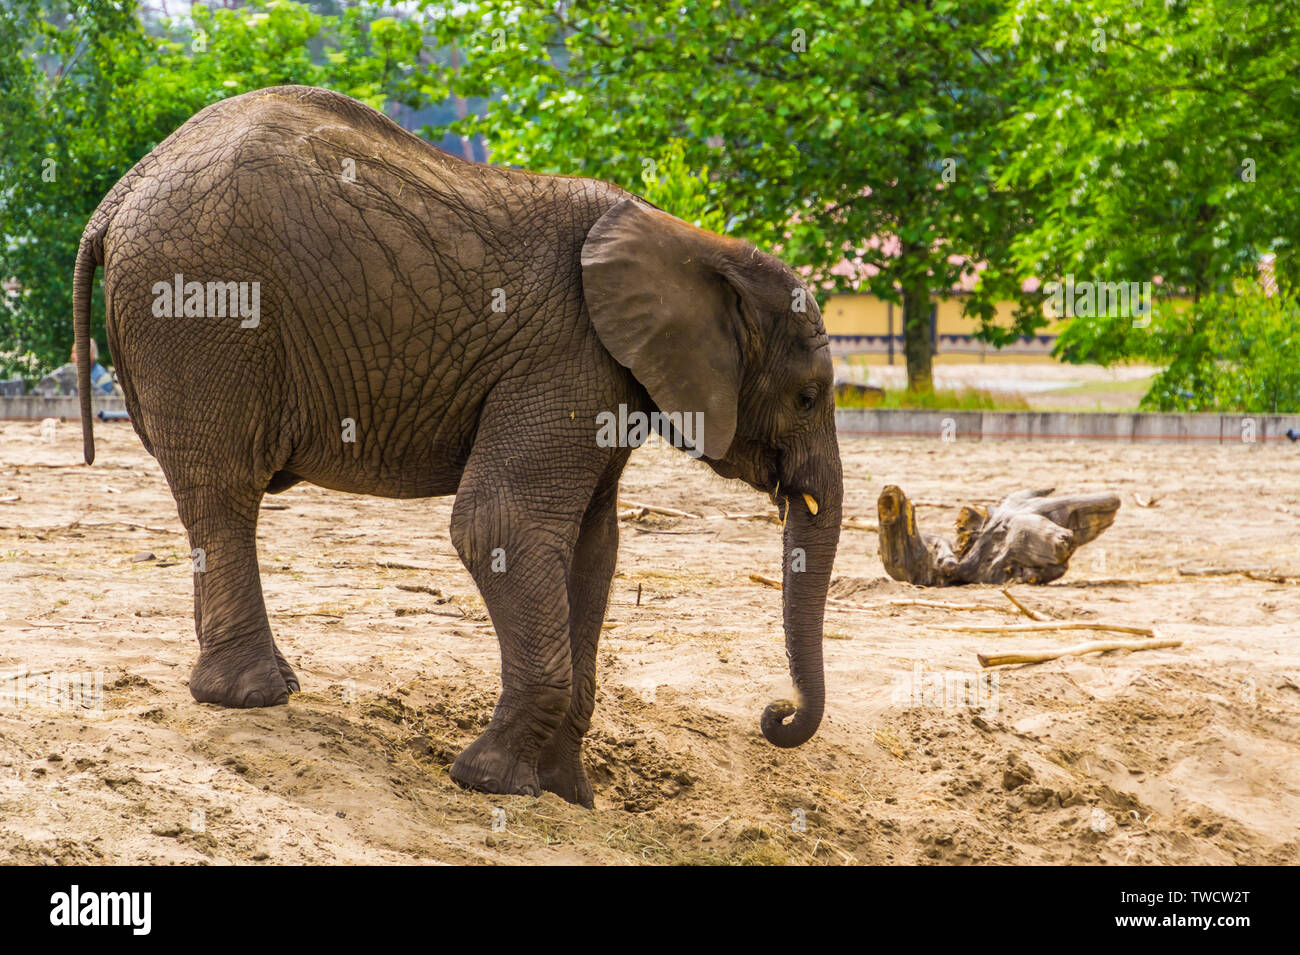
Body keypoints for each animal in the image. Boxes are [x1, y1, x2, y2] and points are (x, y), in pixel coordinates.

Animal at [73, 85, 843, 806]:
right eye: (808, 397)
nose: (774, 714)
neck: (697, 244)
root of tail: (118, 194)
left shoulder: (609, 378)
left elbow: (594, 550)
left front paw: (567, 791)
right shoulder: (568, 354)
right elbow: (501, 523)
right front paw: (490, 781)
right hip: (203, 309)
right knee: (225, 488)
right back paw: (253, 697)